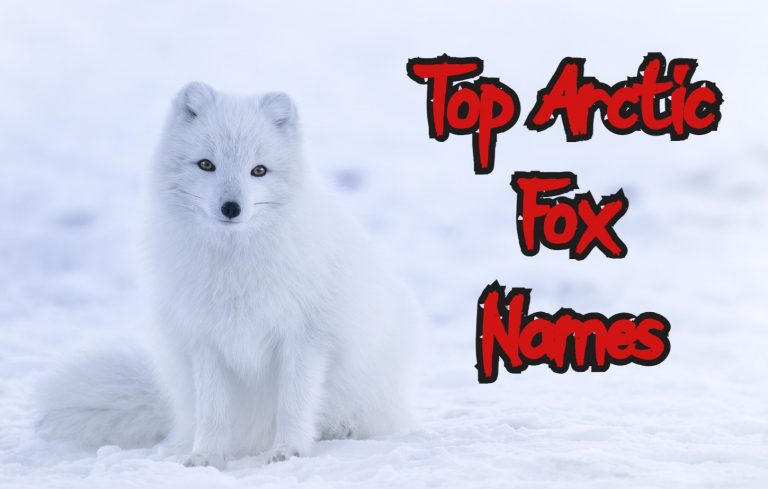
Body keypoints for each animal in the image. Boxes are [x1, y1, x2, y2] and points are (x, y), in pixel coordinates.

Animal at [35, 82, 421, 468]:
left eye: (259, 170)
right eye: (207, 164)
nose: (231, 208)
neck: (235, 267)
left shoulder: (304, 337)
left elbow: (293, 405)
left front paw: (288, 451)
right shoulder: (205, 339)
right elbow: (213, 412)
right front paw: (205, 456)